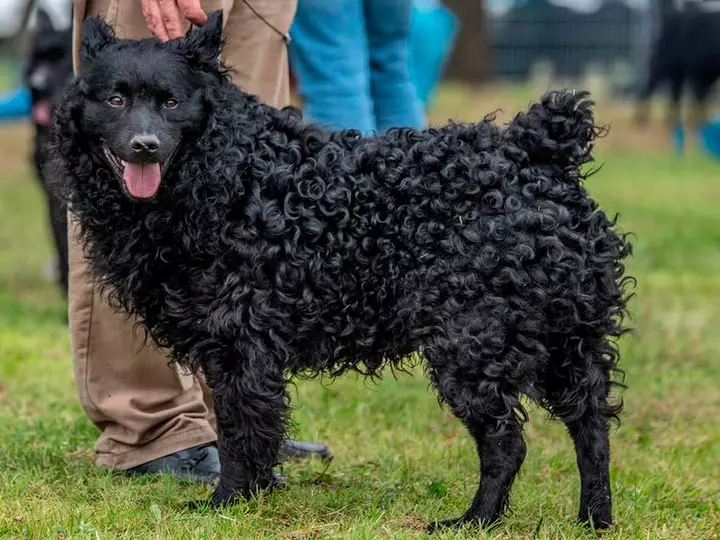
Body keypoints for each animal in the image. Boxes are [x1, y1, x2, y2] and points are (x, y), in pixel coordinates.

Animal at [50, 11, 632, 532]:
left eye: (170, 102)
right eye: (116, 100)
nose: (144, 145)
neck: (229, 171)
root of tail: (536, 151)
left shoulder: (240, 343)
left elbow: (240, 433)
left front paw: (227, 503)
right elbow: (250, 429)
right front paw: (254, 495)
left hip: (473, 345)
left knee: (507, 443)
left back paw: (475, 521)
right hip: (569, 342)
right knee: (592, 432)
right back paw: (593, 519)